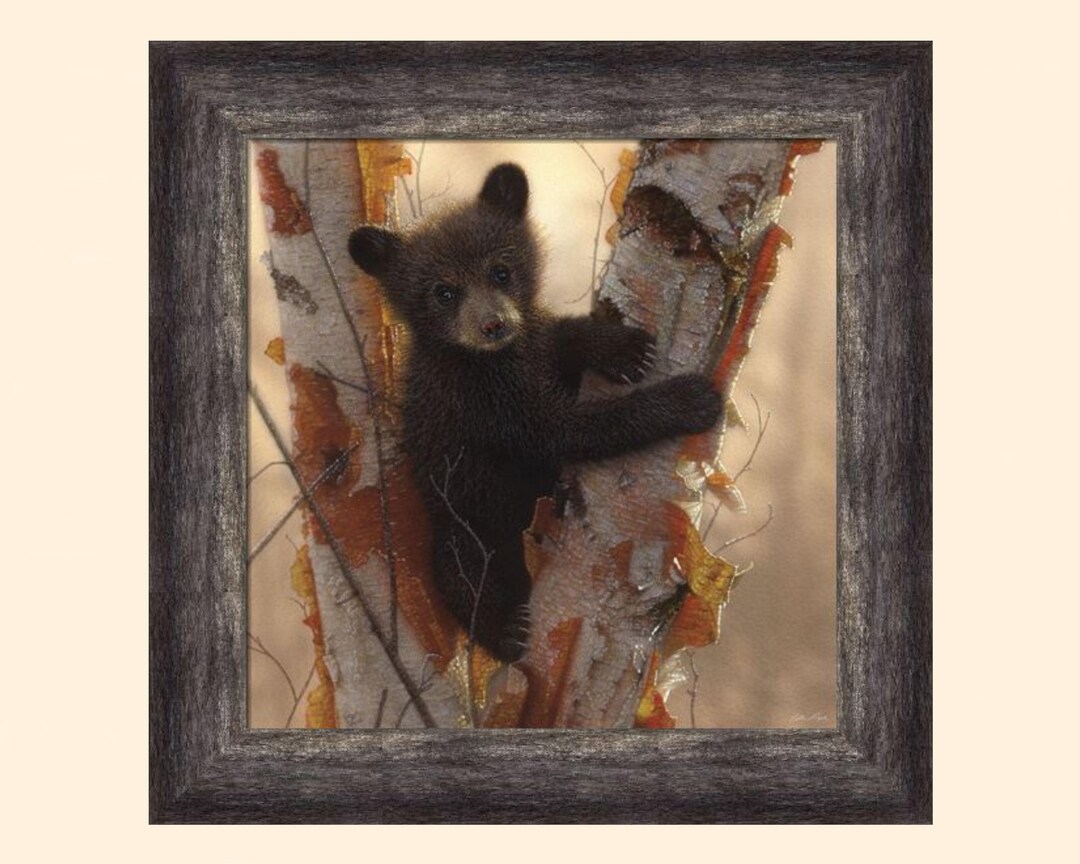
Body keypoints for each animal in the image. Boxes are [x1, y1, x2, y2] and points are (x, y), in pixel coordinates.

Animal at [348, 163, 723, 662]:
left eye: (501, 271)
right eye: (443, 292)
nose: (493, 324)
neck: (490, 359)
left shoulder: (531, 347)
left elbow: (560, 338)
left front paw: (619, 346)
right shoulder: (479, 400)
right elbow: (561, 428)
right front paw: (690, 399)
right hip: (466, 524)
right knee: (463, 576)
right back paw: (508, 630)